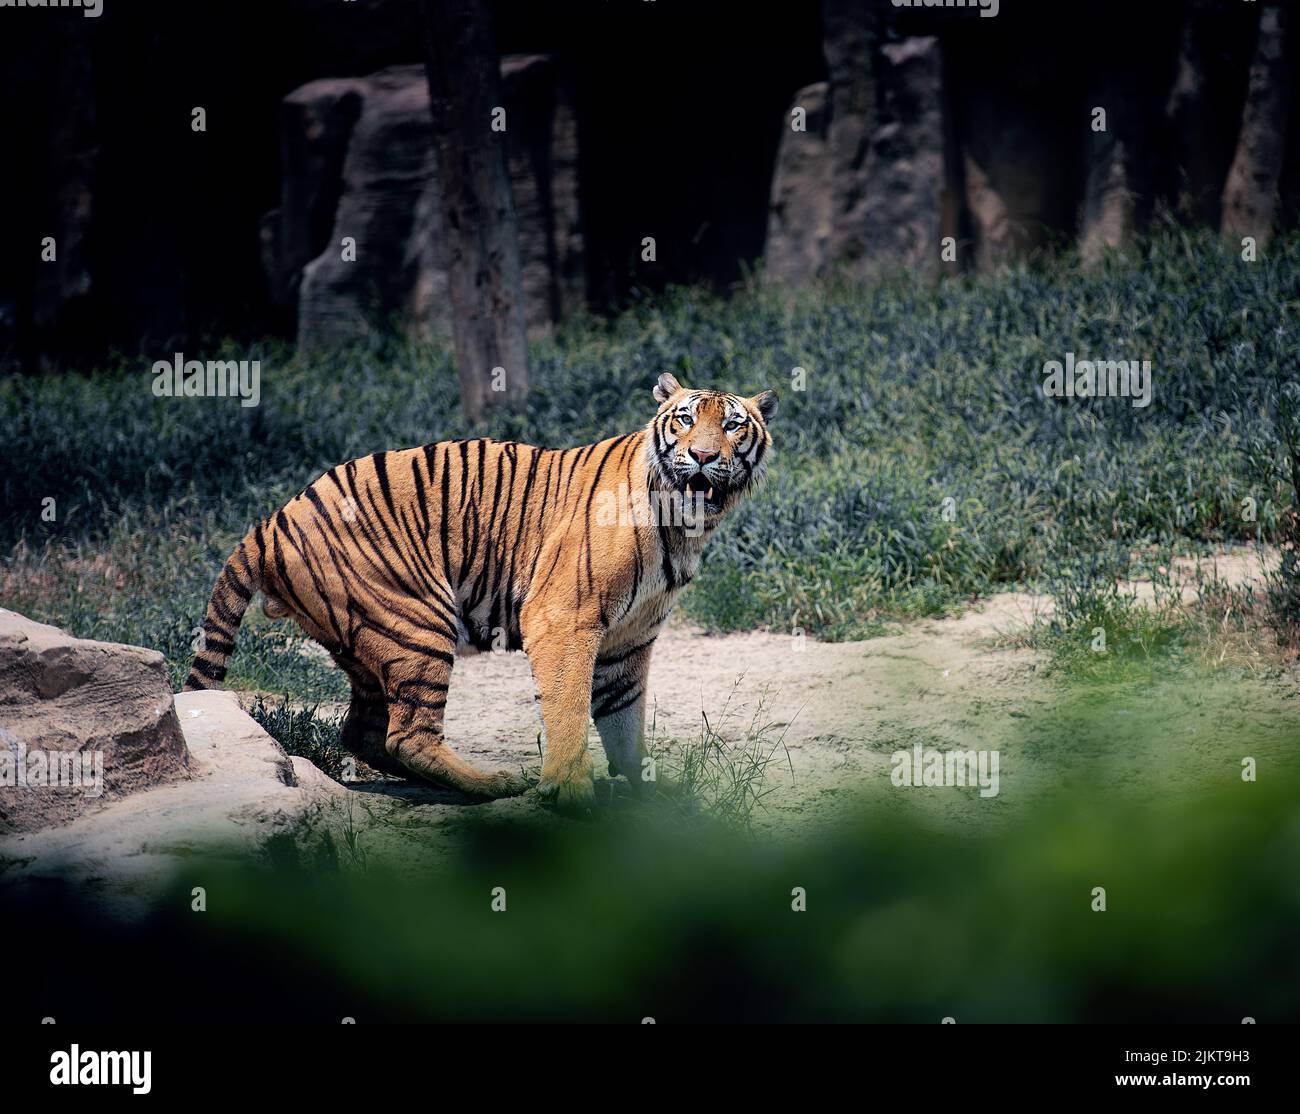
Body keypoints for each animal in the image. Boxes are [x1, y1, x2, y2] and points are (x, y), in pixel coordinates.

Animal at [184, 373, 777, 810]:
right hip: (419, 621)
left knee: (365, 733)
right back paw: (492, 785)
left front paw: (650, 789)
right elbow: (569, 708)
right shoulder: (564, 619)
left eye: (731, 425)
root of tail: (274, 518)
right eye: (685, 419)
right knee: (408, 735)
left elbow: (624, 722)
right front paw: (569, 791)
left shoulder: (630, 641)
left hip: (372, 639)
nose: (703, 456)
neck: (683, 527)